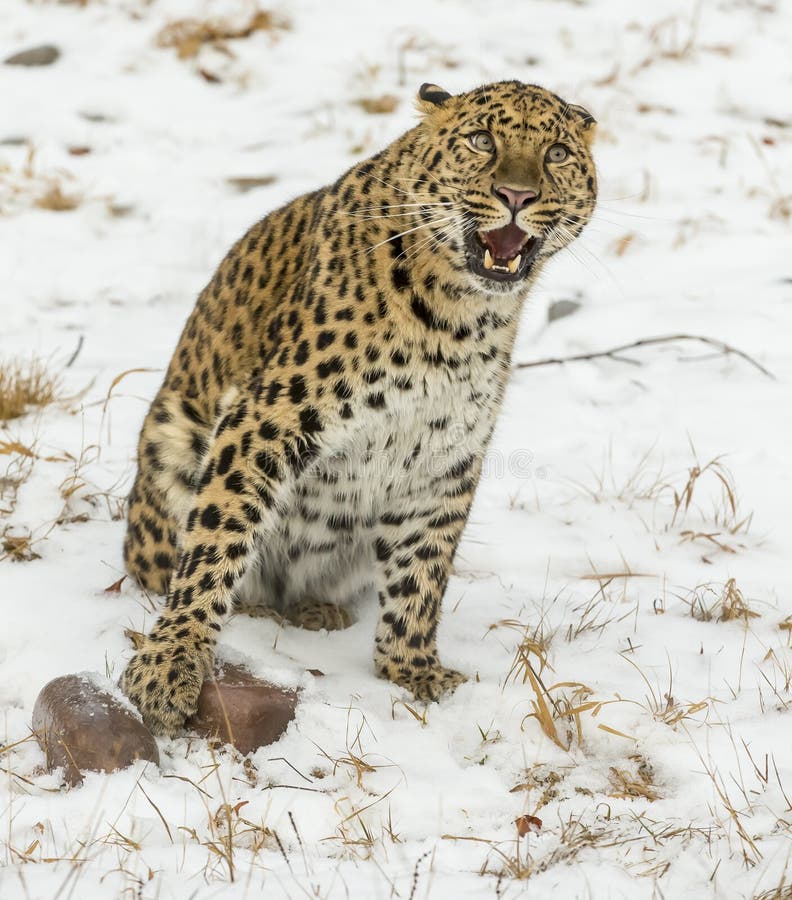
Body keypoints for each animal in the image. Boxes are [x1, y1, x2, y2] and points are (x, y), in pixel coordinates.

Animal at [120, 80, 597, 736]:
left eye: (556, 154)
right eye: (482, 141)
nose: (517, 195)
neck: (459, 319)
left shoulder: (444, 458)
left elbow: (422, 573)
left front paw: (412, 670)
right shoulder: (264, 421)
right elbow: (215, 544)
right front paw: (170, 665)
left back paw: (315, 613)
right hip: (170, 437)